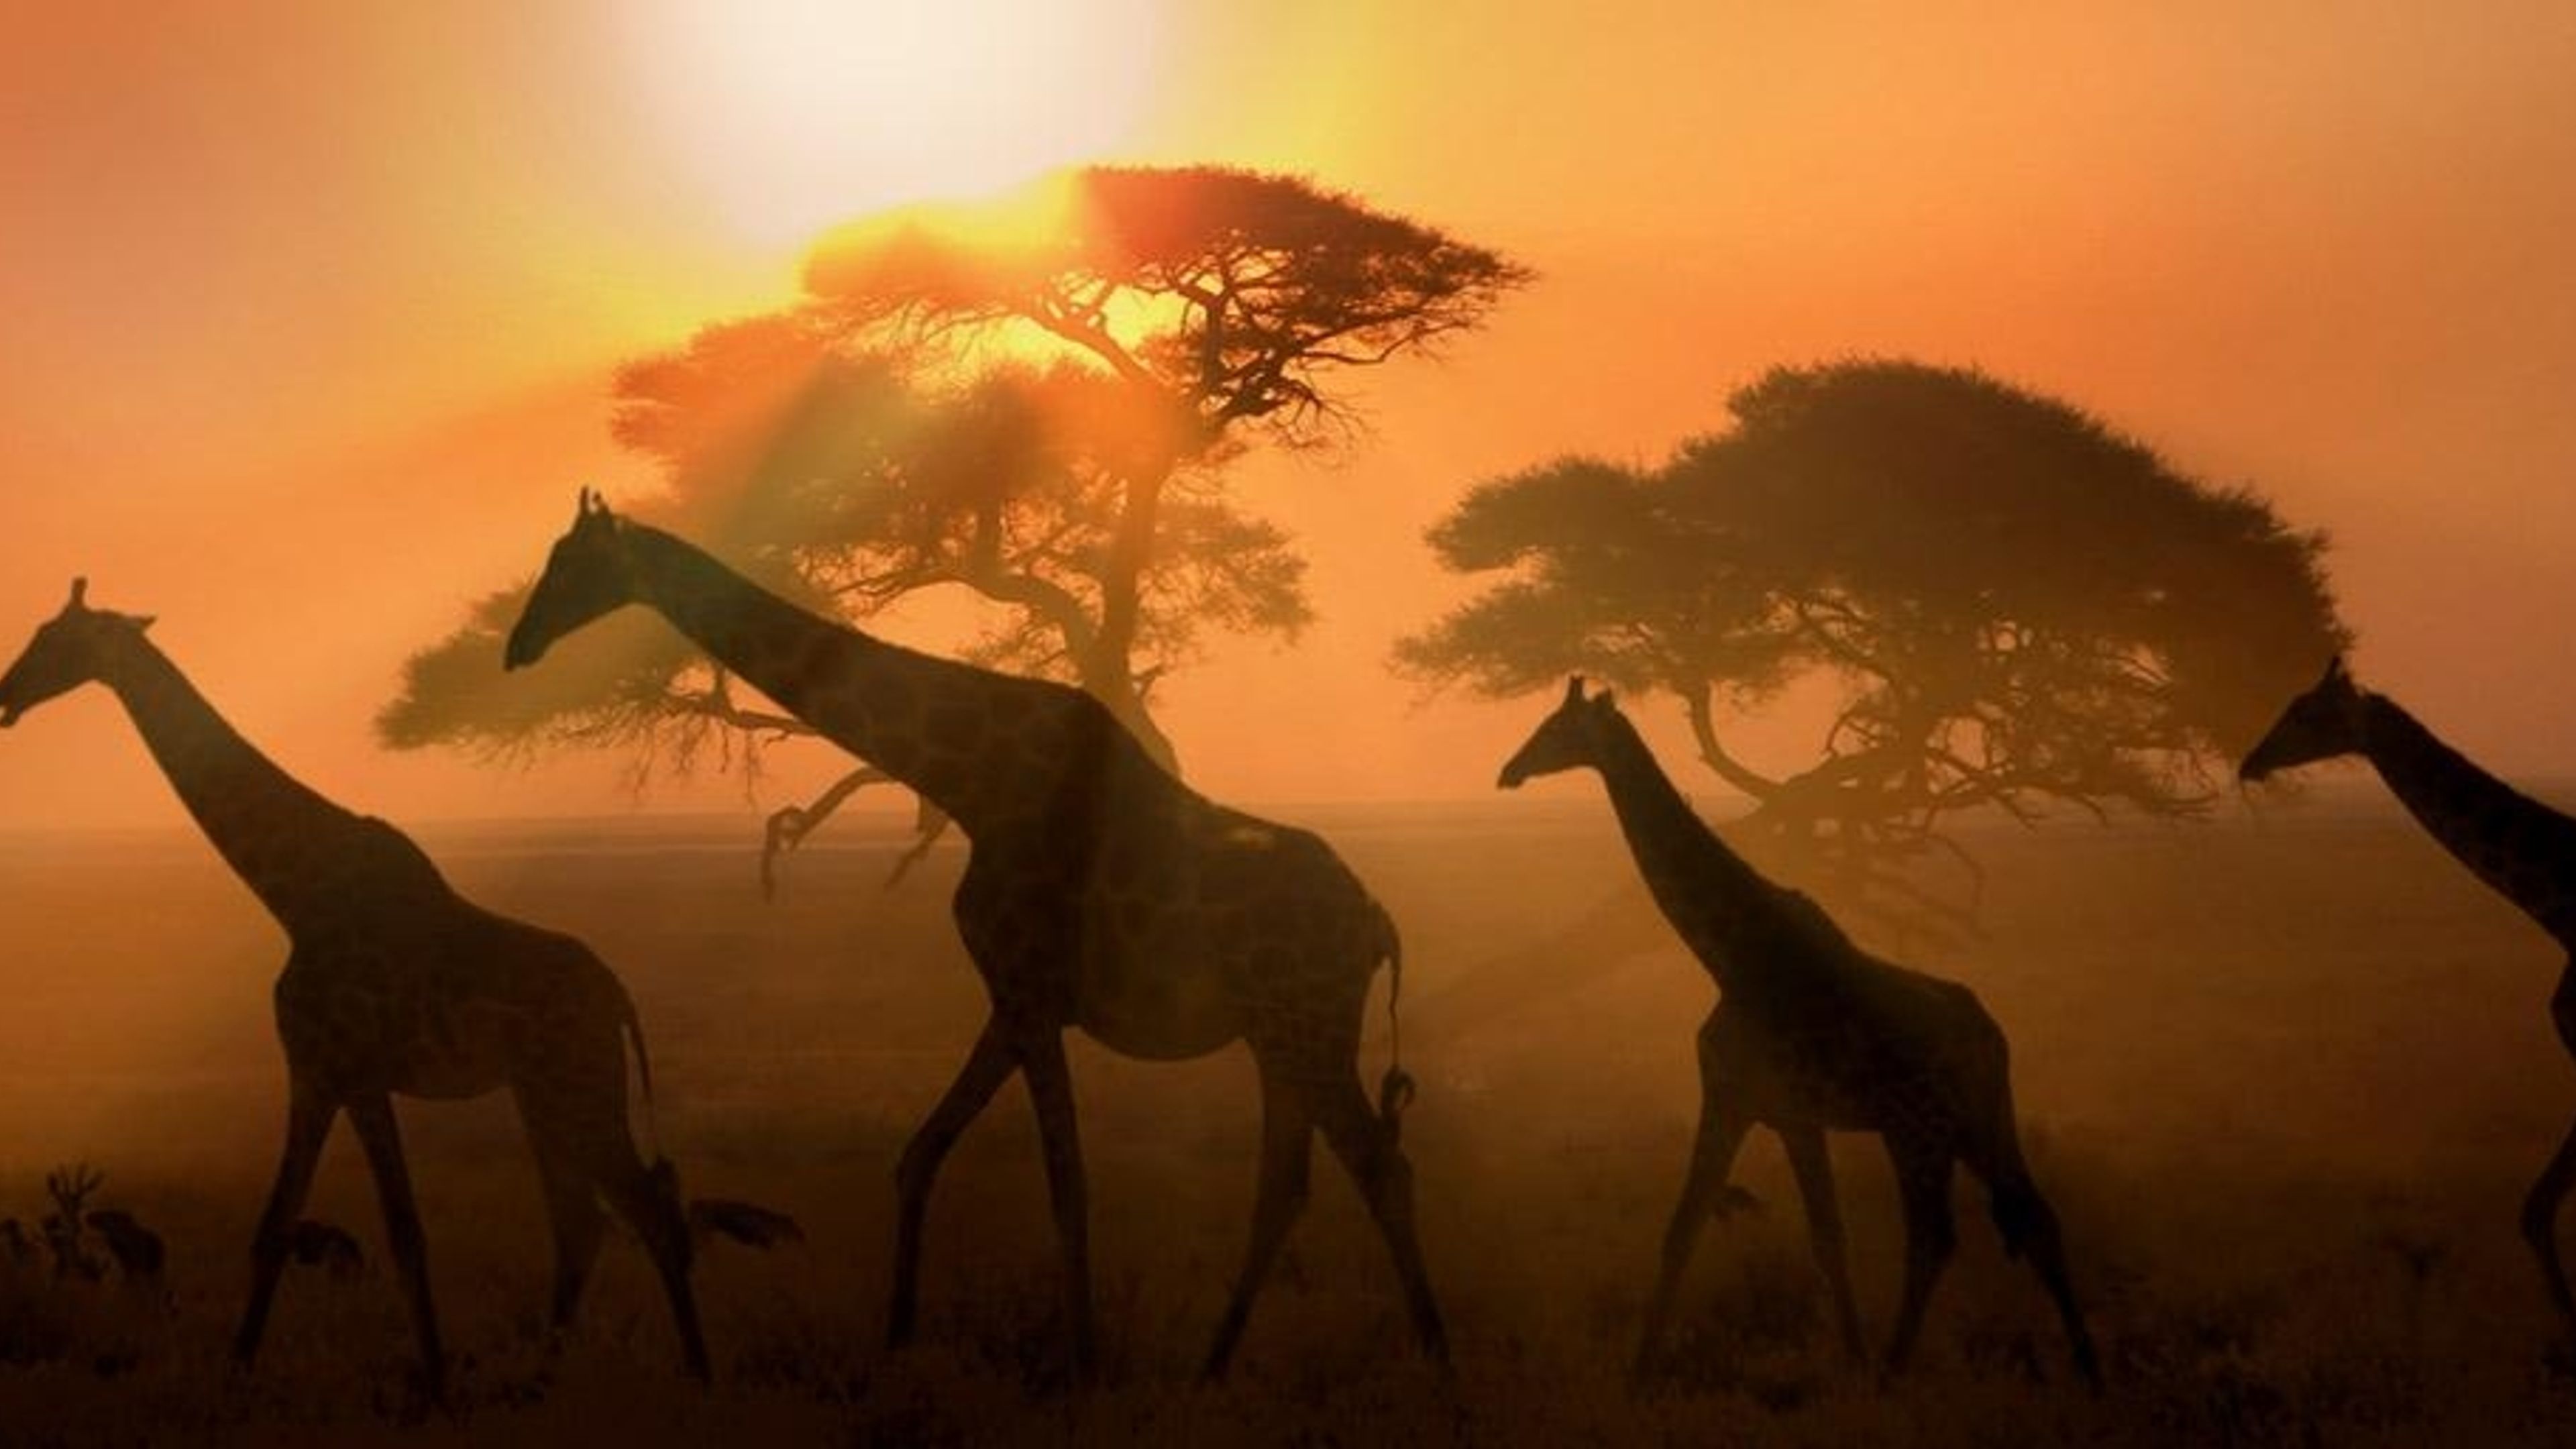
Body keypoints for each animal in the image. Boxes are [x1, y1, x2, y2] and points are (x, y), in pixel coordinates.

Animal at [0, 580, 708, 1397]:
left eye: (53, 637)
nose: (7, 694)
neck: (292, 894)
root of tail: (619, 996)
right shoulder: (315, 1075)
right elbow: (277, 1225)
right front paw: (240, 1370)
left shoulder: (352, 1072)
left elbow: (401, 1230)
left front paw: (433, 1385)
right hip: (541, 1091)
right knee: (582, 1220)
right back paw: (542, 1373)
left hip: (576, 1082)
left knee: (646, 1209)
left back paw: (697, 1376)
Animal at [500, 490, 1444, 1379]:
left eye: (572, 562)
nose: (517, 645)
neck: (966, 779)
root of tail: (1377, 922)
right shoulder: (1014, 1000)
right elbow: (921, 1154)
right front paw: (896, 1339)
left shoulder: (1030, 994)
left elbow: (1068, 1182)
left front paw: (1084, 1366)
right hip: (1275, 1037)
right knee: (1287, 1188)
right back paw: (1210, 1371)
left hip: (1306, 1029)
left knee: (1380, 1166)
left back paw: (1441, 1367)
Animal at [1500, 678, 2098, 1385]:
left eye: (1555, 729)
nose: (1509, 771)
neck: (1727, 957)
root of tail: (1991, 1039)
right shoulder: (1791, 1116)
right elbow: (1825, 1238)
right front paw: (1851, 1358)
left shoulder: (1732, 1098)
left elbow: (1683, 1230)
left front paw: (1640, 1377)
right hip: (1982, 1120)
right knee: (2036, 1217)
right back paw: (2089, 1373)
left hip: (1916, 1128)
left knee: (1935, 1237)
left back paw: (1894, 1373)